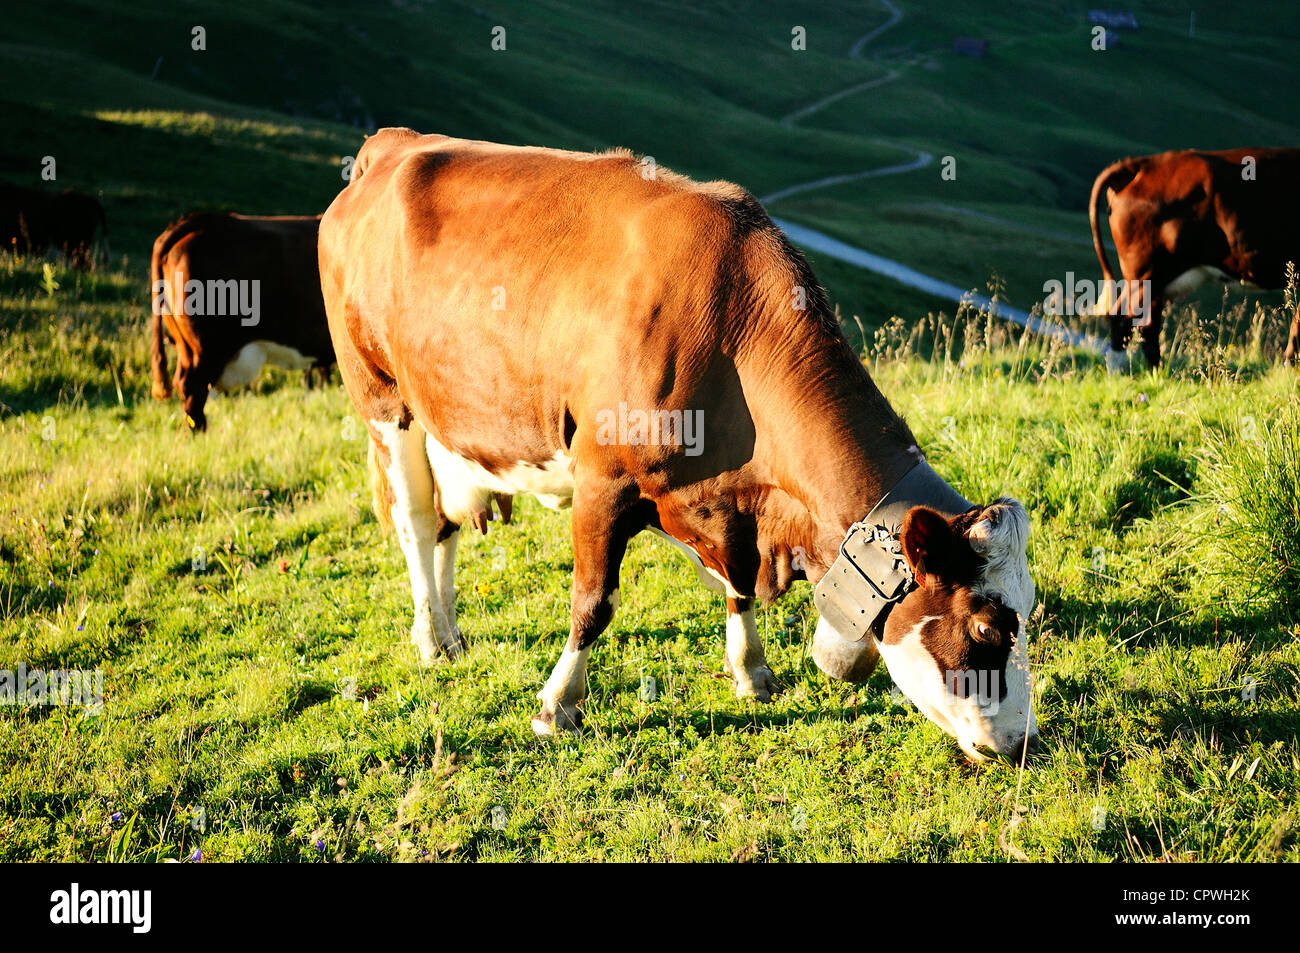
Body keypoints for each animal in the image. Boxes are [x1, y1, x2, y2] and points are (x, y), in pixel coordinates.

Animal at [317, 130, 1034, 764]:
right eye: (985, 627)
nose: (1022, 741)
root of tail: (394, 143)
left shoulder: (728, 506)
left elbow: (737, 584)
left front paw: (752, 671)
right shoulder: (603, 477)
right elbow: (592, 601)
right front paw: (557, 705)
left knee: (445, 525)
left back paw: (452, 632)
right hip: (383, 400)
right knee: (415, 523)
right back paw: (431, 639)